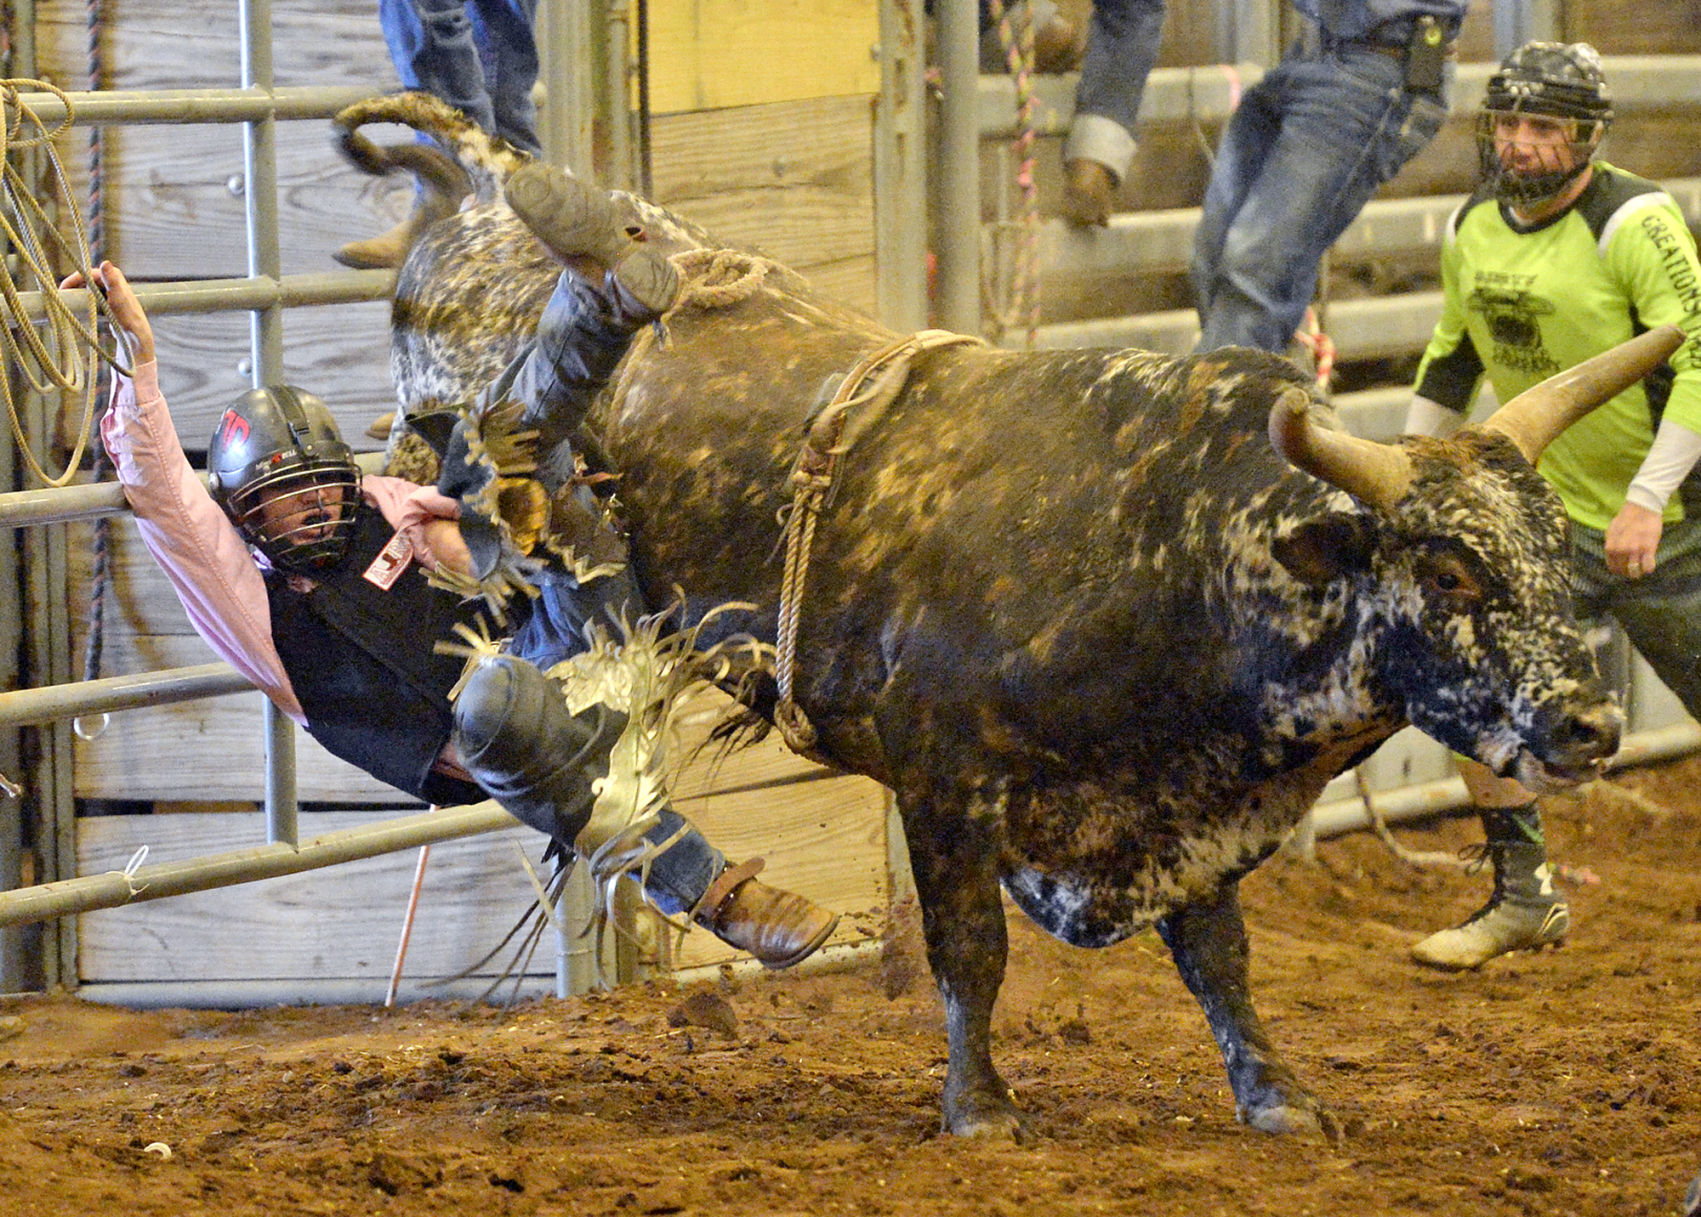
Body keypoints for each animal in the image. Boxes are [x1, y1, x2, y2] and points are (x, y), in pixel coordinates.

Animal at [333, 93, 1673, 1141]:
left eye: (1553, 549)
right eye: (1447, 572)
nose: (1590, 725)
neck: (1174, 544)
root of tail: (469, 200)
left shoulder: (1189, 792)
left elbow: (1220, 955)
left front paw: (1276, 1093)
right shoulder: (945, 787)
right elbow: (972, 949)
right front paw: (979, 1106)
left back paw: (599, 235)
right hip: (488, 483)